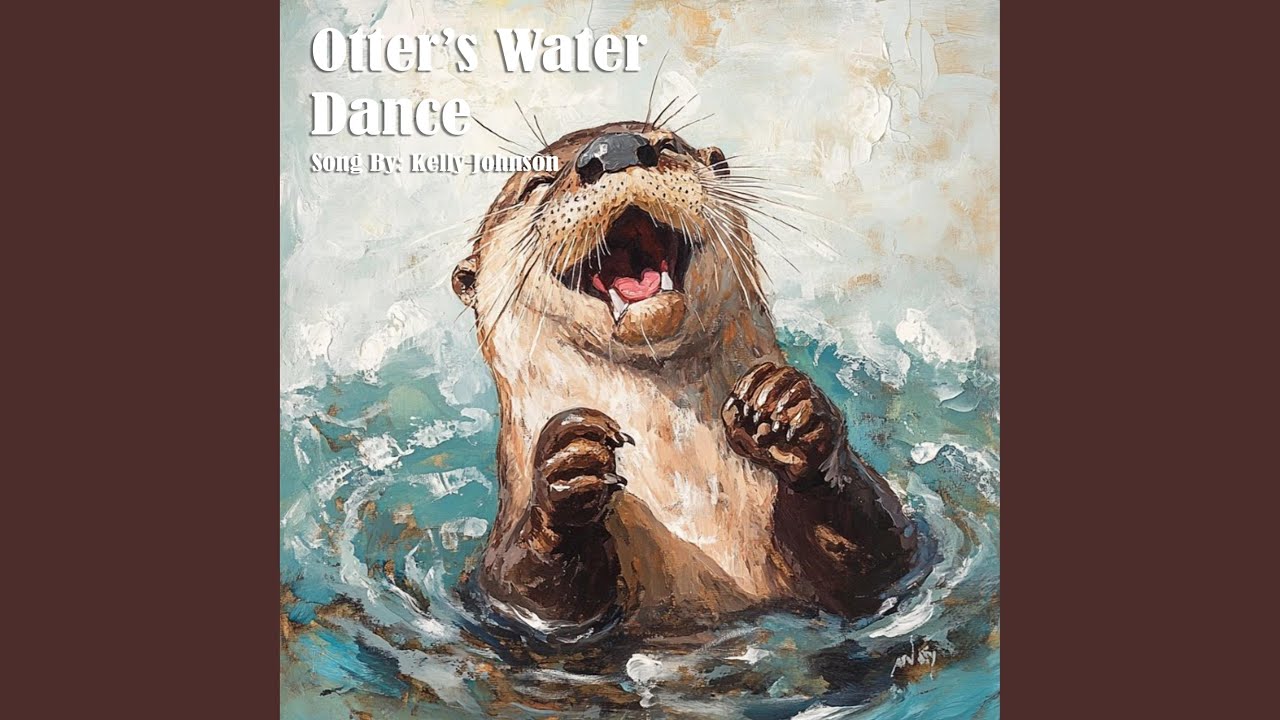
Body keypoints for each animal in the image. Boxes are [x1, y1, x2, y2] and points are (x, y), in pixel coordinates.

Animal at [450, 120, 923, 643]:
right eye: (537, 183)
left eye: (666, 143)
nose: (614, 149)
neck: (689, 499)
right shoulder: (500, 584)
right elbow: (529, 593)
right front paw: (570, 462)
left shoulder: (891, 558)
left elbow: (886, 554)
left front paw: (784, 409)